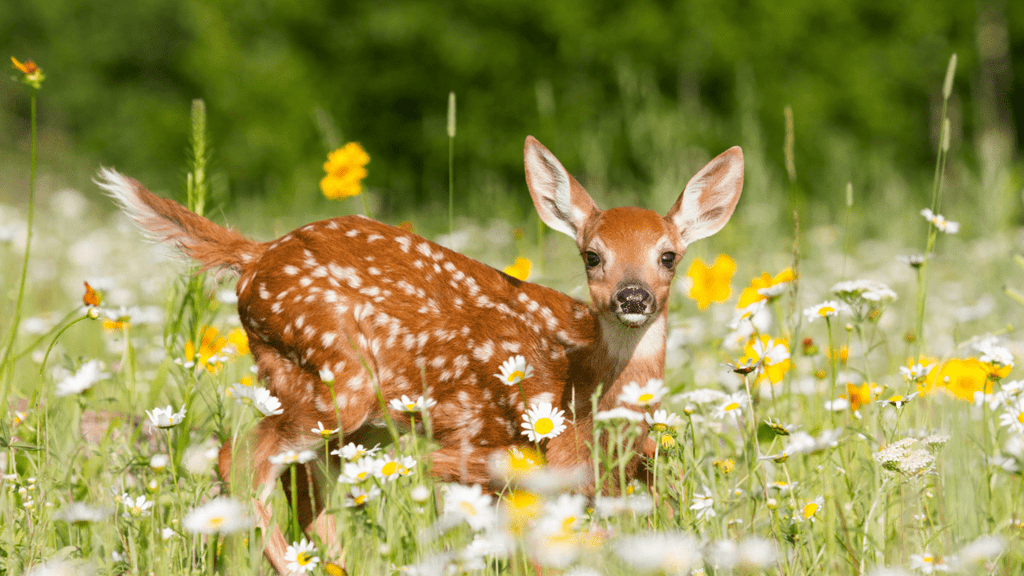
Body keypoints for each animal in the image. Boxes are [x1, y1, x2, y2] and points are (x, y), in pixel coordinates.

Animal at [97, 136, 743, 573]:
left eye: (668, 256)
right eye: (592, 255)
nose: (633, 297)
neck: (583, 387)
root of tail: (255, 256)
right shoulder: (489, 457)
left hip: (341, 410)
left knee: (304, 482)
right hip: (336, 376)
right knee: (240, 457)